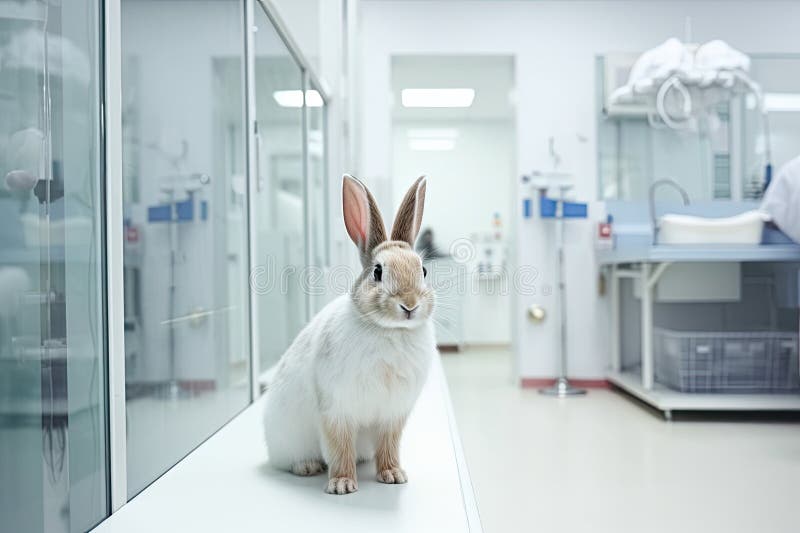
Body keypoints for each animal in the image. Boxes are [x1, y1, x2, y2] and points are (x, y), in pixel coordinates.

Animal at [262, 174, 437, 495]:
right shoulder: (336, 410)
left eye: (424, 271)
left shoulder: (393, 415)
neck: (389, 330)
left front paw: (393, 475)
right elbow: (339, 446)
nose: (409, 305)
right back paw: (307, 466)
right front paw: (342, 484)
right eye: (378, 272)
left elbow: (389, 446)